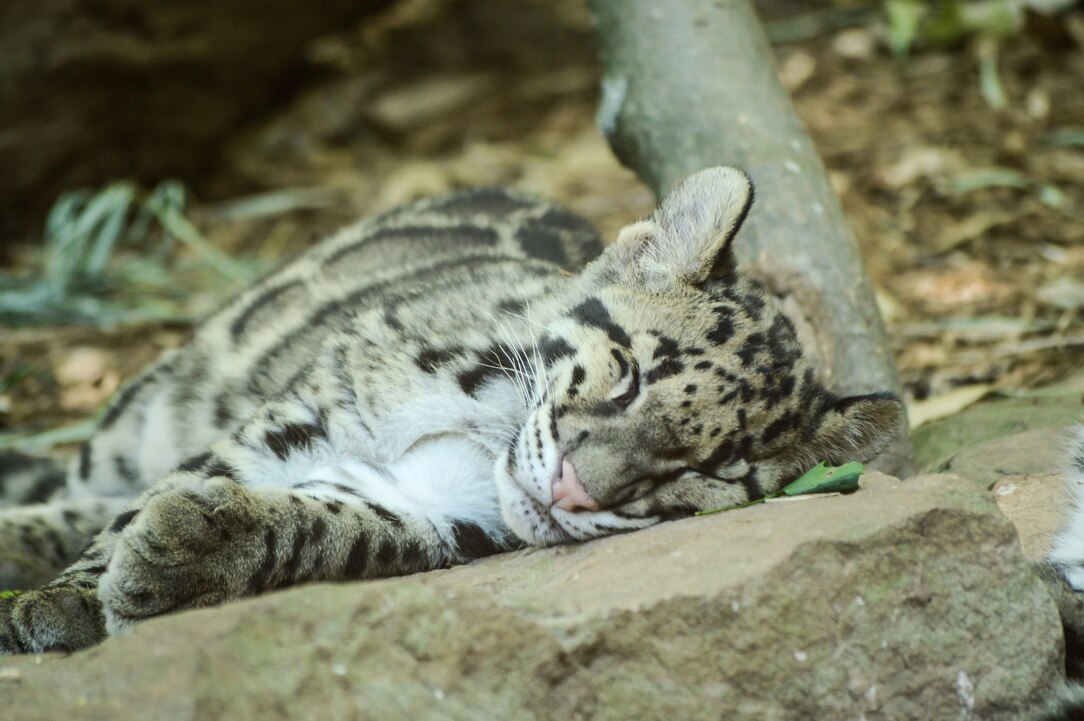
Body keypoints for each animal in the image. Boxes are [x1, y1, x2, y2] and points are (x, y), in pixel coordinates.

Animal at [0, 166, 902, 655]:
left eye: (710, 470)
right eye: (627, 373)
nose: (574, 490)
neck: (488, 422)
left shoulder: (444, 516)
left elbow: (333, 524)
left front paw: (189, 547)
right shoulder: (303, 409)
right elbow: (165, 495)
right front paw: (70, 596)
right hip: (140, 415)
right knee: (95, 485)